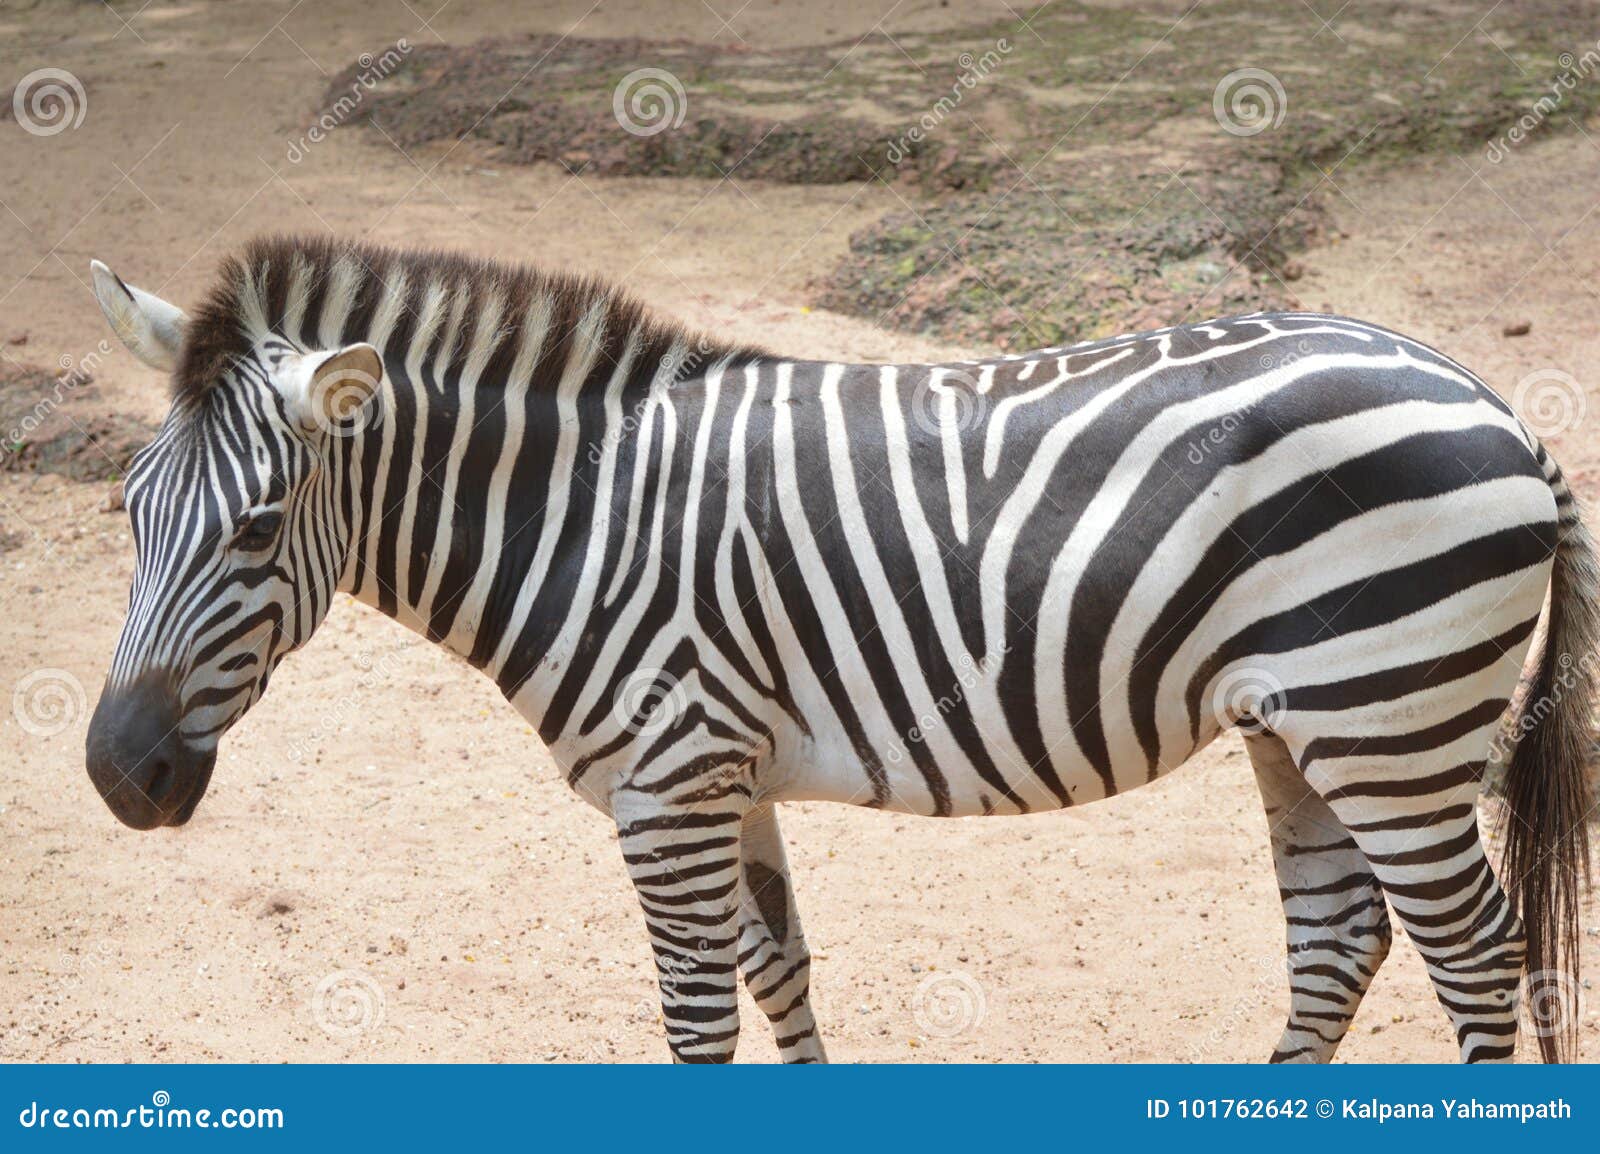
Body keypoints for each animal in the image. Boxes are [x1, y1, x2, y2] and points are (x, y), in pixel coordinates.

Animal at [83, 234, 1593, 1064]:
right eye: (132, 510)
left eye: (257, 529)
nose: (114, 774)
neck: (585, 519)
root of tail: (1500, 407)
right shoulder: (721, 775)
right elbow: (782, 971)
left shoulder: (666, 787)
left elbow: (698, 1014)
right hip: (1302, 724)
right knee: (1341, 940)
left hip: (1387, 717)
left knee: (1474, 952)